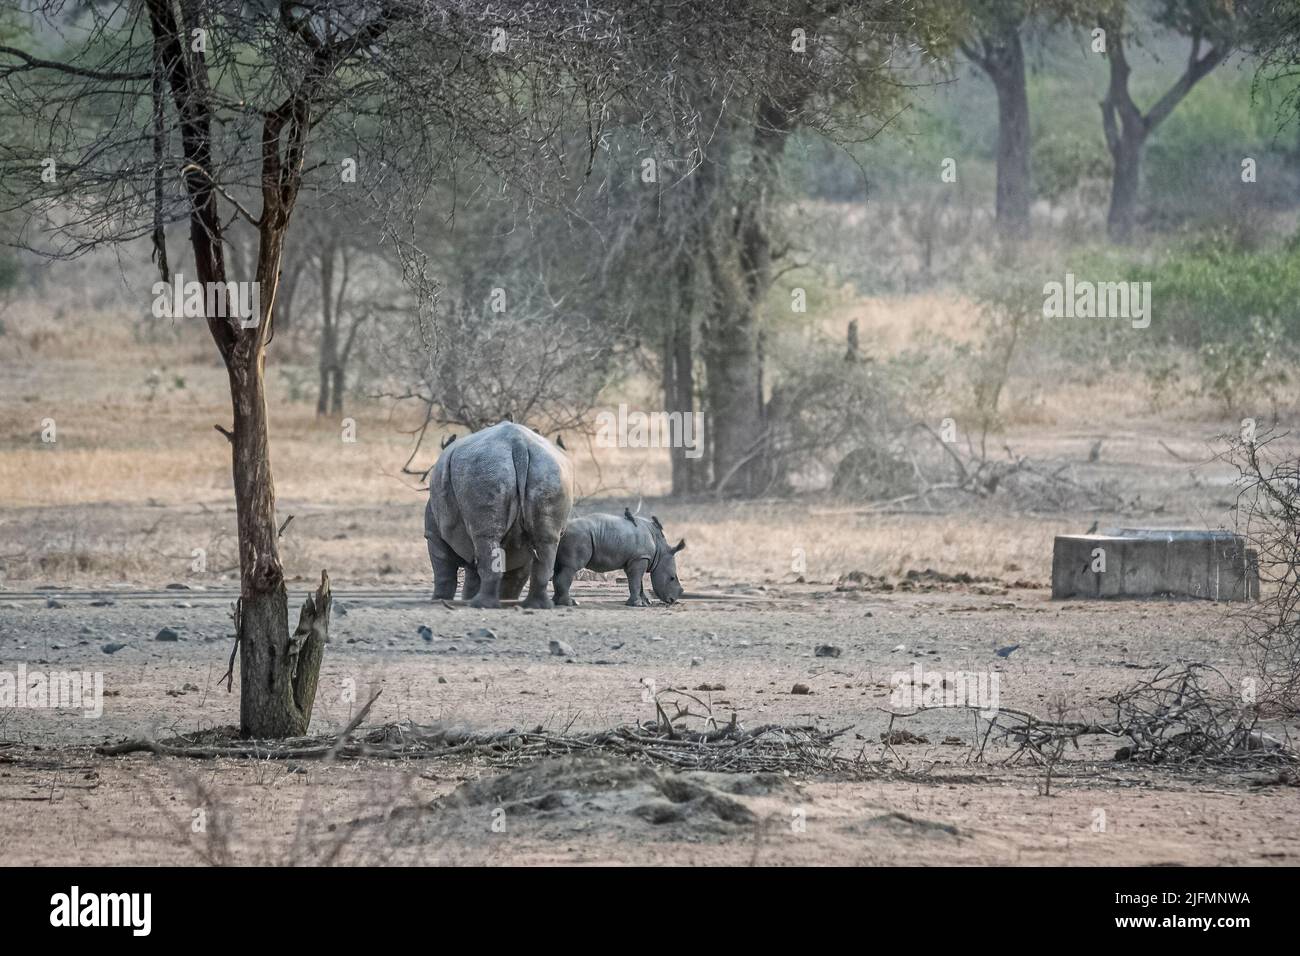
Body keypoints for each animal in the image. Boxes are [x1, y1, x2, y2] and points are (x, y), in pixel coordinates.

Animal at [424, 421, 574, 608]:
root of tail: (519, 445)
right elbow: (515, 572)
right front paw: (505, 599)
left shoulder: (433, 534)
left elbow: (443, 569)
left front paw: (439, 599)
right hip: (548, 472)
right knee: (546, 541)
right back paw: (536, 605)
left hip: (485, 471)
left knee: (486, 537)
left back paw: (481, 604)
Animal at [553, 509, 685, 607]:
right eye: (672, 578)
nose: (672, 600)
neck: (660, 548)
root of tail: (562, 529)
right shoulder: (640, 558)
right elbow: (636, 581)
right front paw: (637, 604)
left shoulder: (637, 559)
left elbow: (638, 582)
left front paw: (646, 602)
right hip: (577, 537)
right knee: (570, 567)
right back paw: (571, 603)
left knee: (559, 568)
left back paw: (556, 602)